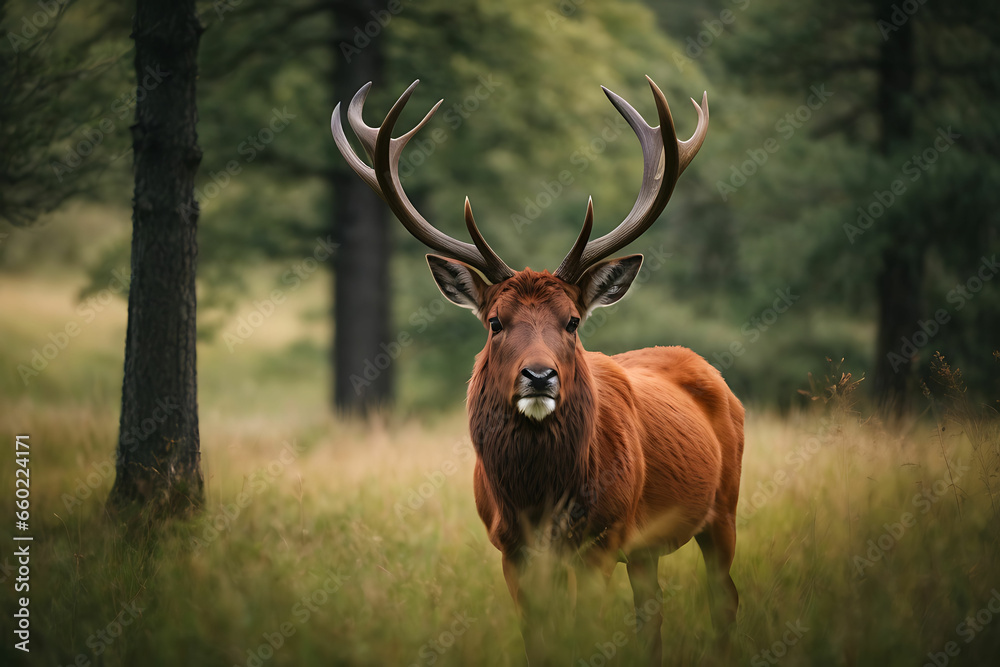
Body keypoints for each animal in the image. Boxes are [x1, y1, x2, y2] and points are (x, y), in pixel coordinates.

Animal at [331, 76, 744, 666]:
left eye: (571, 320)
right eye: (495, 322)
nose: (540, 376)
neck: (538, 496)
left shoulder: (600, 539)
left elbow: (583, 633)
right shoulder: (511, 547)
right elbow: (540, 639)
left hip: (724, 506)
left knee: (723, 596)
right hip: (645, 547)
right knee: (653, 610)